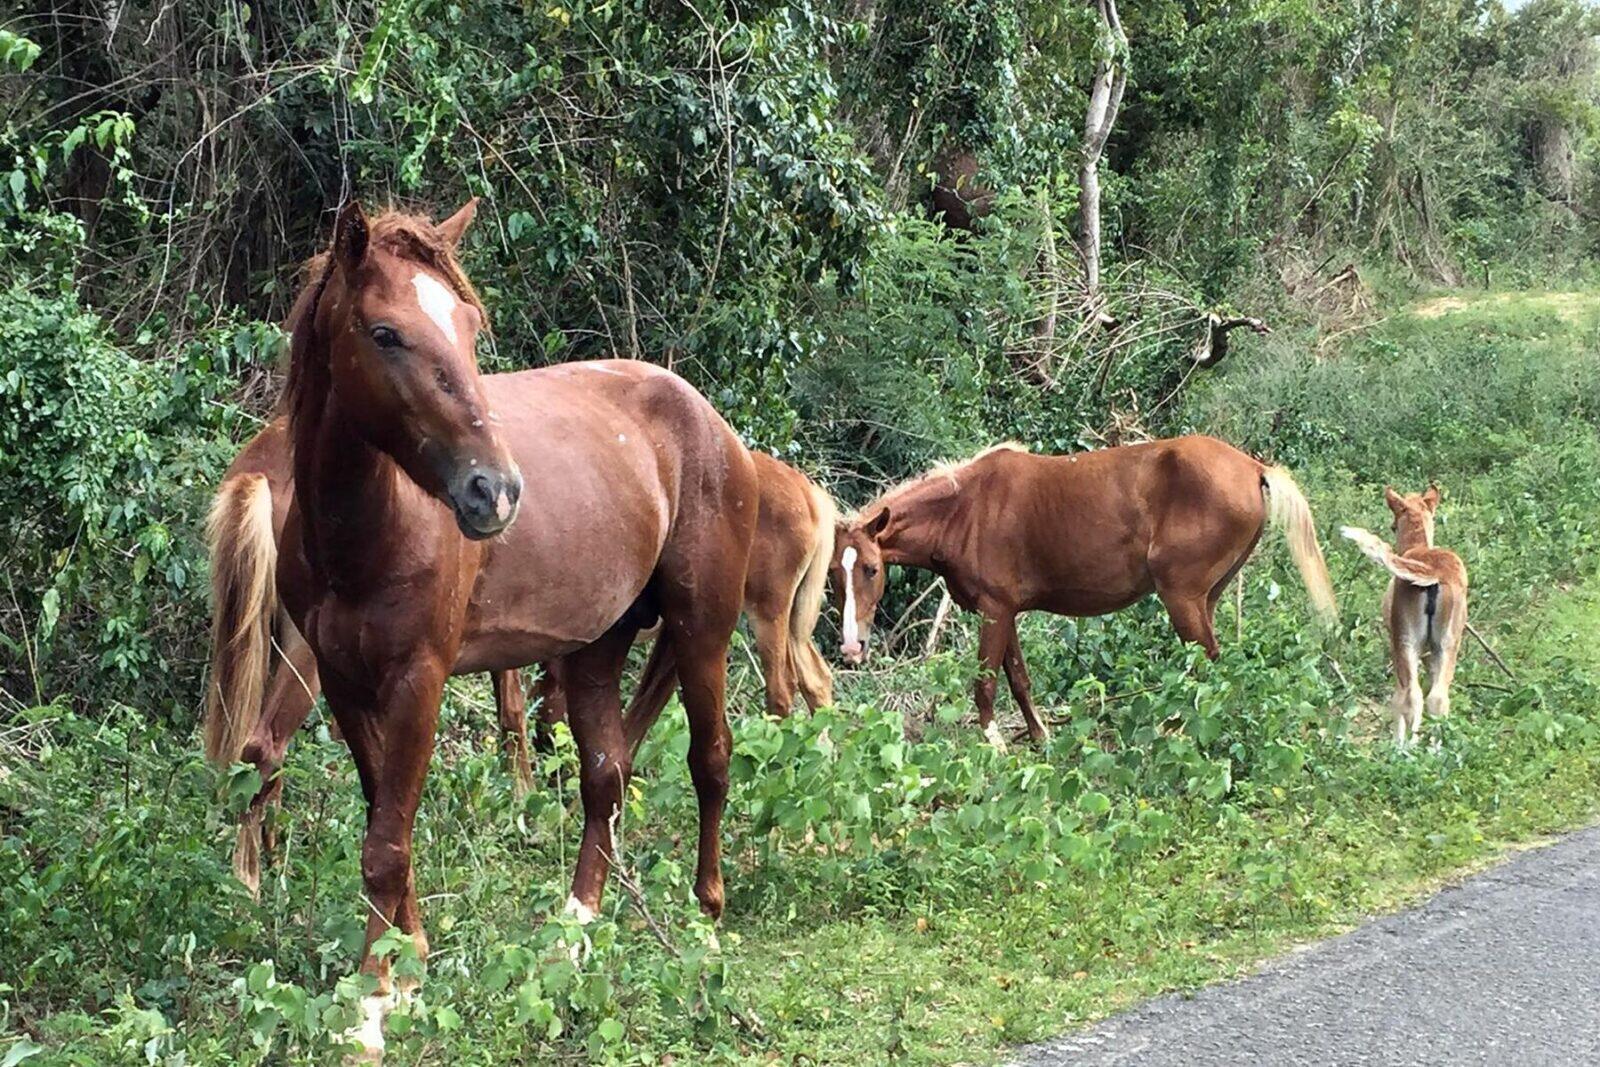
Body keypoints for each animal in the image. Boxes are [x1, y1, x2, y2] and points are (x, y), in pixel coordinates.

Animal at [203, 199, 757, 1056]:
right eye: (385, 332)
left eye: (468, 326)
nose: (493, 490)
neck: (368, 532)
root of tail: (705, 419)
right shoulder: (346, 683)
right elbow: (384, 821)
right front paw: (409, 964)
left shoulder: (418, 682)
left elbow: (385, 843)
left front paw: (370, 1006)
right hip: (595, 647)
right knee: (606, 775)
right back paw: (572, 931)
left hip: (703, 632)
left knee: (711, 761)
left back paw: (704, 914)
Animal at [830, 437, 1337, 749]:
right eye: (833, 575)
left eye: (872, 569)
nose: (852, 648)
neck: (966, 509)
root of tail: (1253, 468)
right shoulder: (1007, 611)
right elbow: (1019, 679)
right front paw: (1040, 739)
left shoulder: (994, 609)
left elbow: (986, 681)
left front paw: (993, 743)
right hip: (1206, 598)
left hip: (1182, 598)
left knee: (1208, 665)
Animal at [1341, 486, 1469, 746]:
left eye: (1393, 525)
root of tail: (1431, 572)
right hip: (1448, 643)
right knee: (1438, 697)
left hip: (1406, 639)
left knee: (1411, 695)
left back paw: (1403, 748)